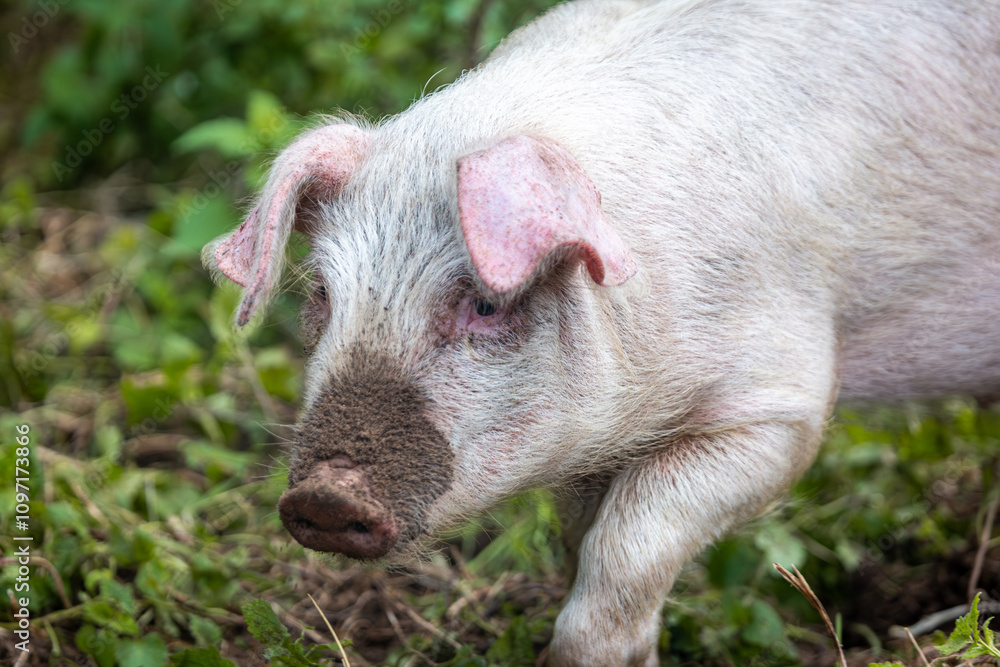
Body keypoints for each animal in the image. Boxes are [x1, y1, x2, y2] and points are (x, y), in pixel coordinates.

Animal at [203, 0, 1000, 664]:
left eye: (486, 305)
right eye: (323, 293)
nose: (326, 496)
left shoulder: (781, 398)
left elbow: (630, 537)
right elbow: (582, 536)